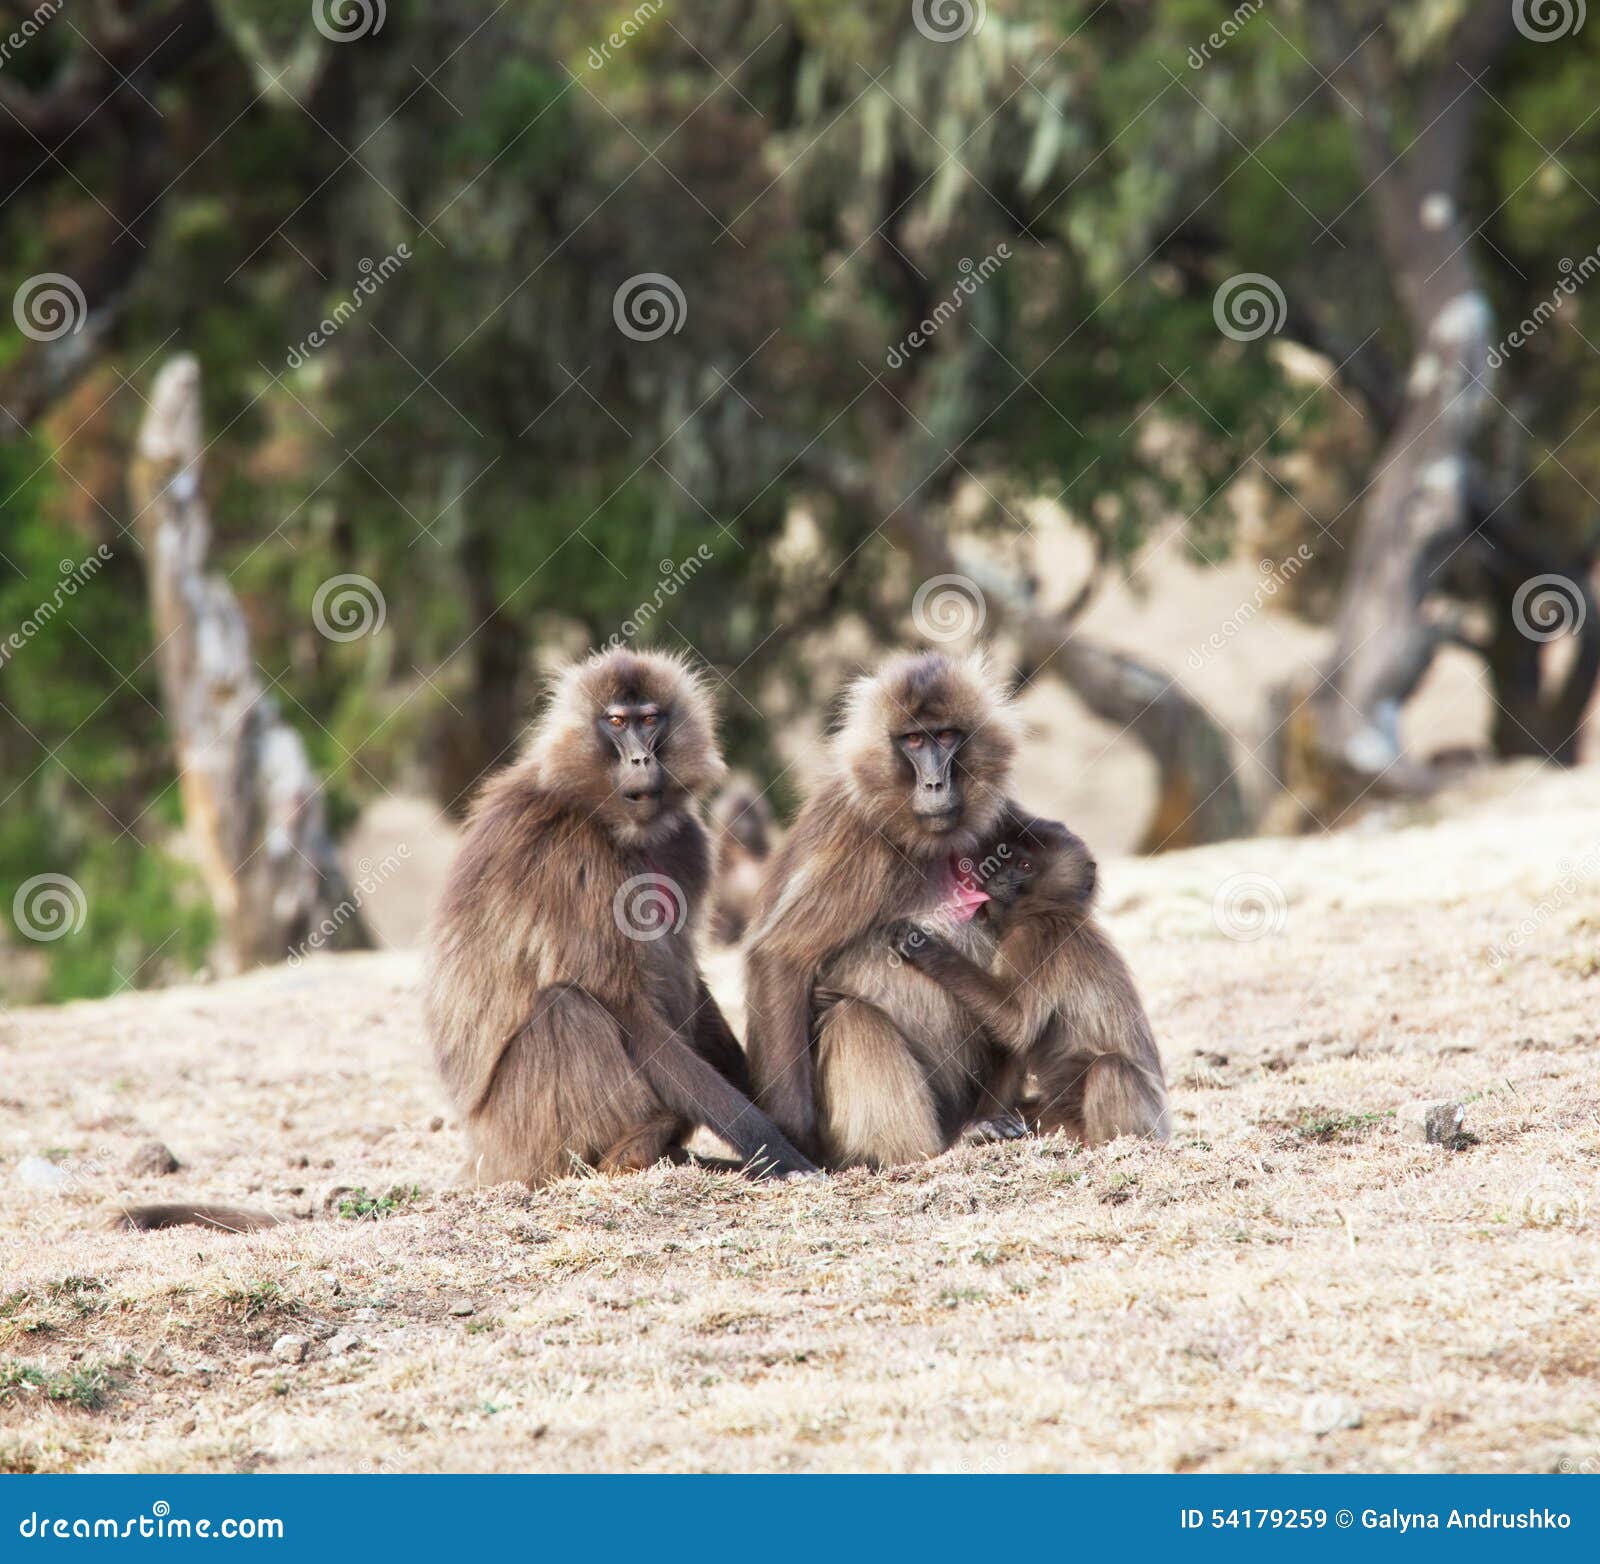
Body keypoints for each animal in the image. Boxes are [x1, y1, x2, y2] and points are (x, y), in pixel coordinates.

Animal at [742, 649, 1024, 1167]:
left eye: (947, 736)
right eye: (913, 740)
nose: (934, 784)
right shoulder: (856, 836)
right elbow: (781, 956)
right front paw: (797, 1145)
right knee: (853, 1018)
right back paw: (932, 1151)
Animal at [888, 804, 1170, 1147]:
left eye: (1024, 866)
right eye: (1004, 858)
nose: (997, 878)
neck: (1049, 908)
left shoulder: (1036, 936)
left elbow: (1016, 1023)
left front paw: (924, 946)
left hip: (1139, 1119)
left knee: (1110, 1068)